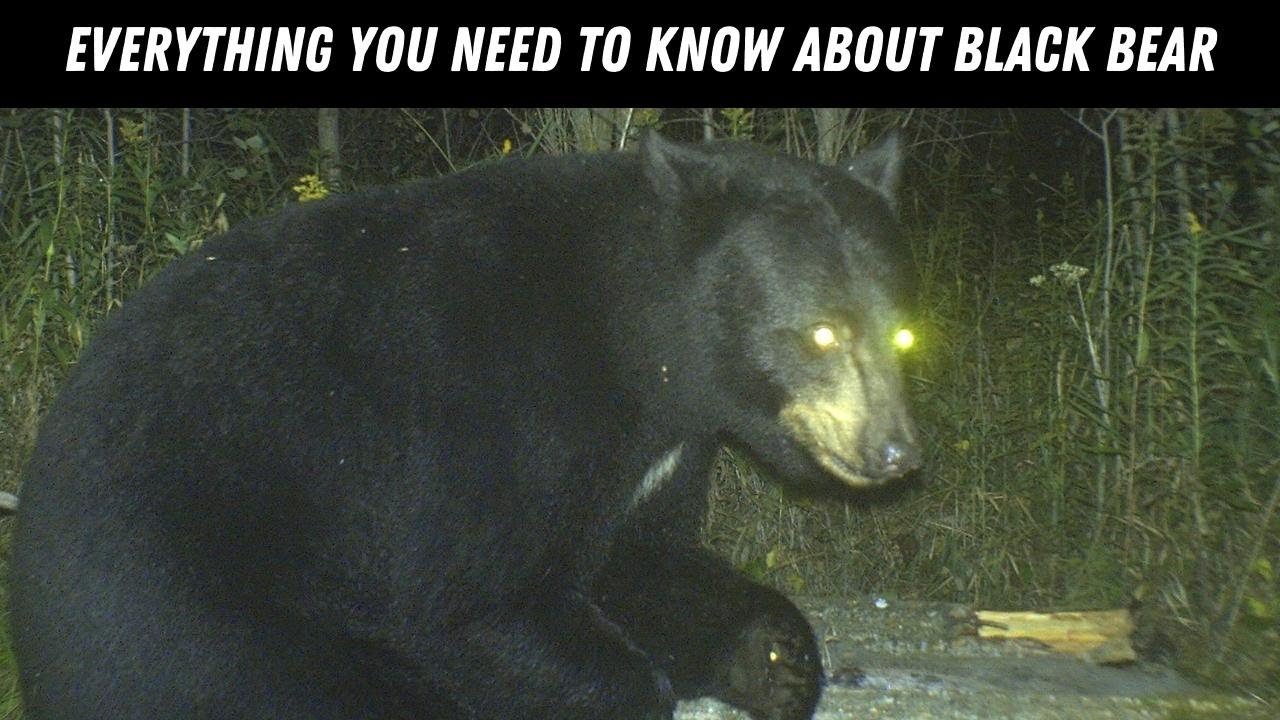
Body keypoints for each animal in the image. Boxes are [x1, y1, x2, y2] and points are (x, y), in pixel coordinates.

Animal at [10, 132, 920, 720]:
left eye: (902, 331)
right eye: (822, 333)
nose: (896, 451)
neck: (642, 346)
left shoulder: (658, 450)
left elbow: (633, 557)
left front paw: (775, 655)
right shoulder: (492, 411)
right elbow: (473, 598)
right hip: (187, 598)